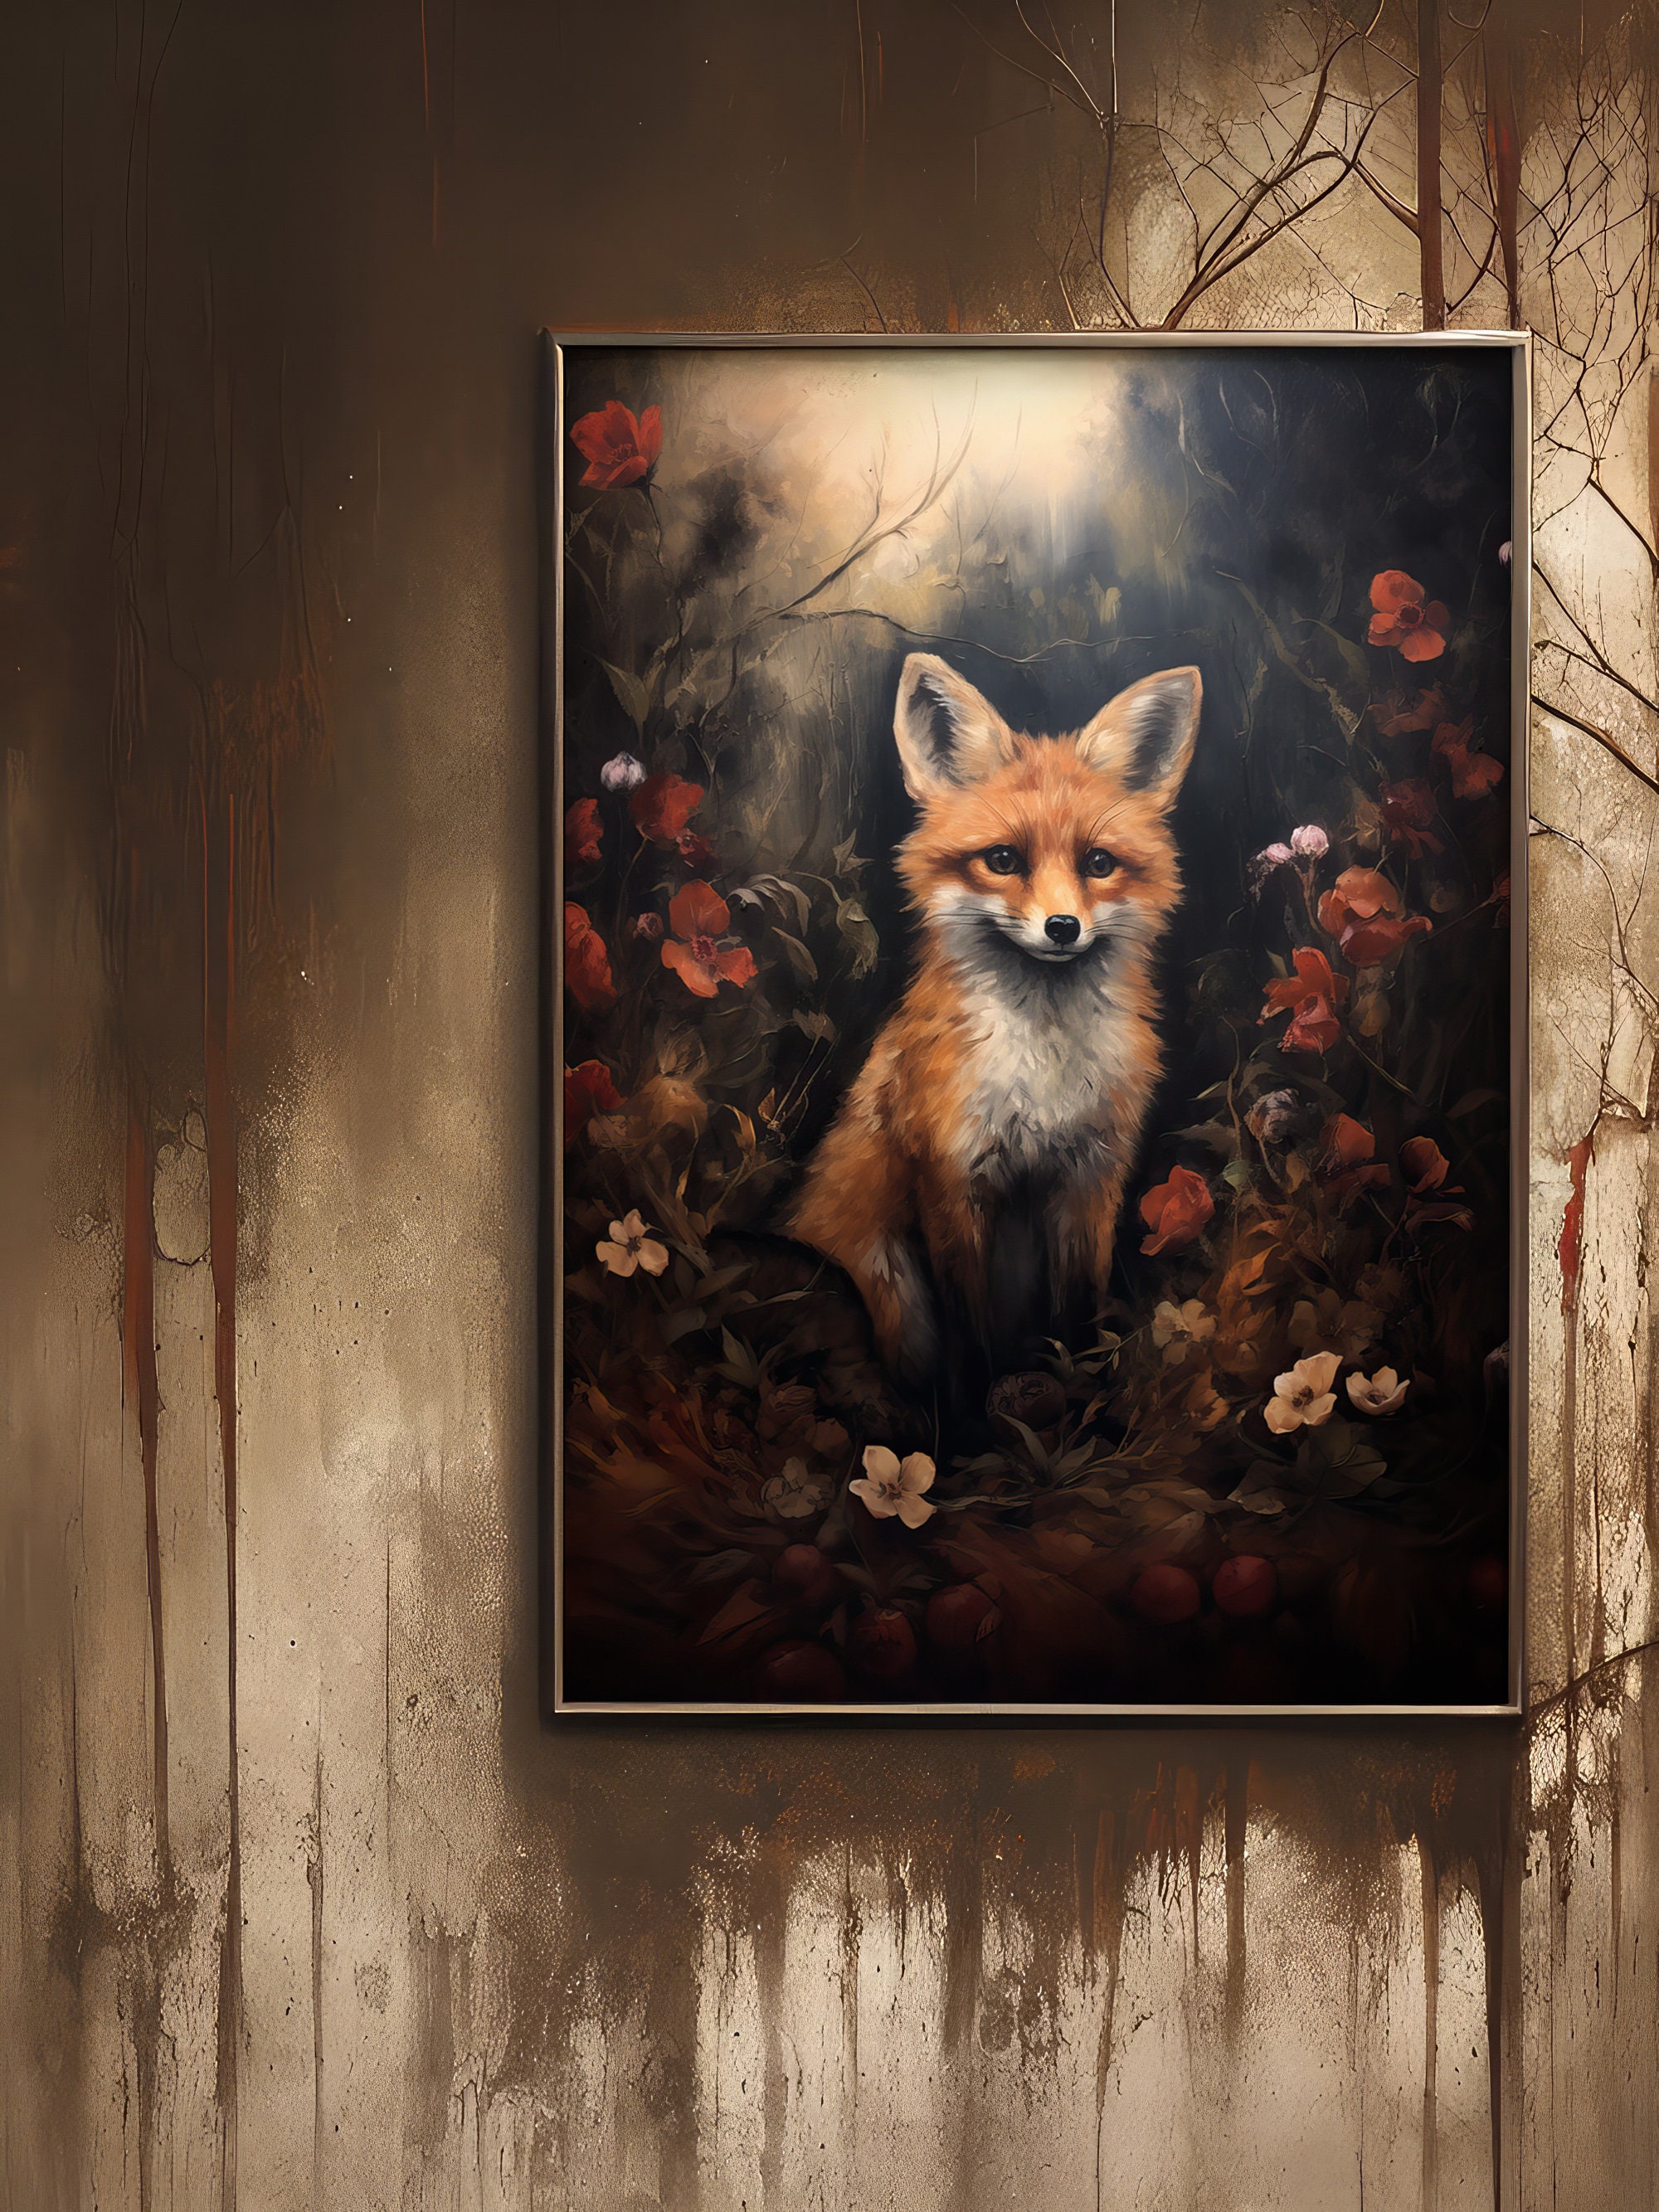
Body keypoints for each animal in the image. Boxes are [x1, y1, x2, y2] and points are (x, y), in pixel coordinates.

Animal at [788, 652, 1202, 1382]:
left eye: (1098, 863)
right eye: (1003, 860)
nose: (1062, 927)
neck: (1044, 1069)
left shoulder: (1091, 1177)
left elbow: (1080, 1314)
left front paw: (1085, 1398)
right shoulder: (952, 1181)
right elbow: (969, 1337)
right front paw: (978, 1408)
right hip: (887, 1279)